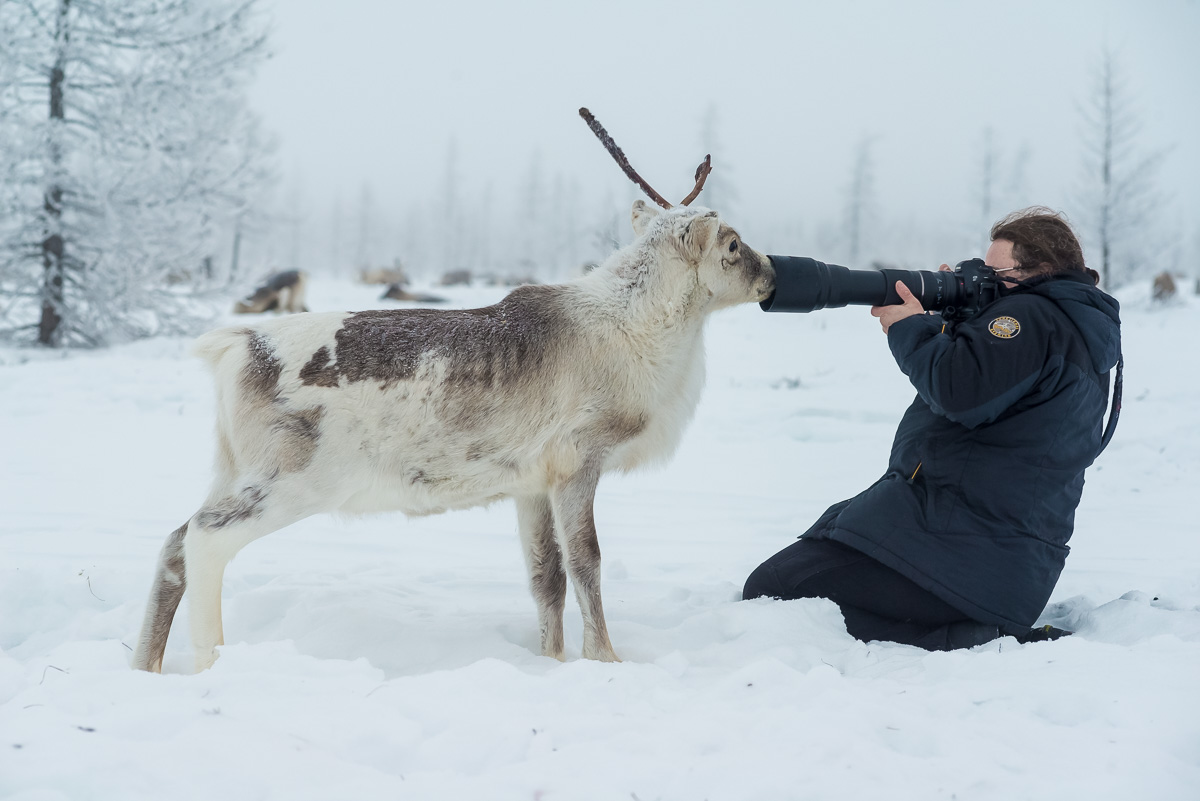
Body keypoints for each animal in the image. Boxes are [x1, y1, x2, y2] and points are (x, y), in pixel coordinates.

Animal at [132, 109, 775, 673]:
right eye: (732, 244)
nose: (772, 273)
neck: (645, 333)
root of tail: (237, 345)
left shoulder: (530, 483)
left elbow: (545, 577)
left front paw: (551, 661)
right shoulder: (578, 460)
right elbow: (586, 564)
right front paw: (606, 659)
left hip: (234, 470)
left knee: (173, 541)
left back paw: (146, 664)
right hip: (291, 479)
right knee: (204, 539)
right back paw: (212, 661)